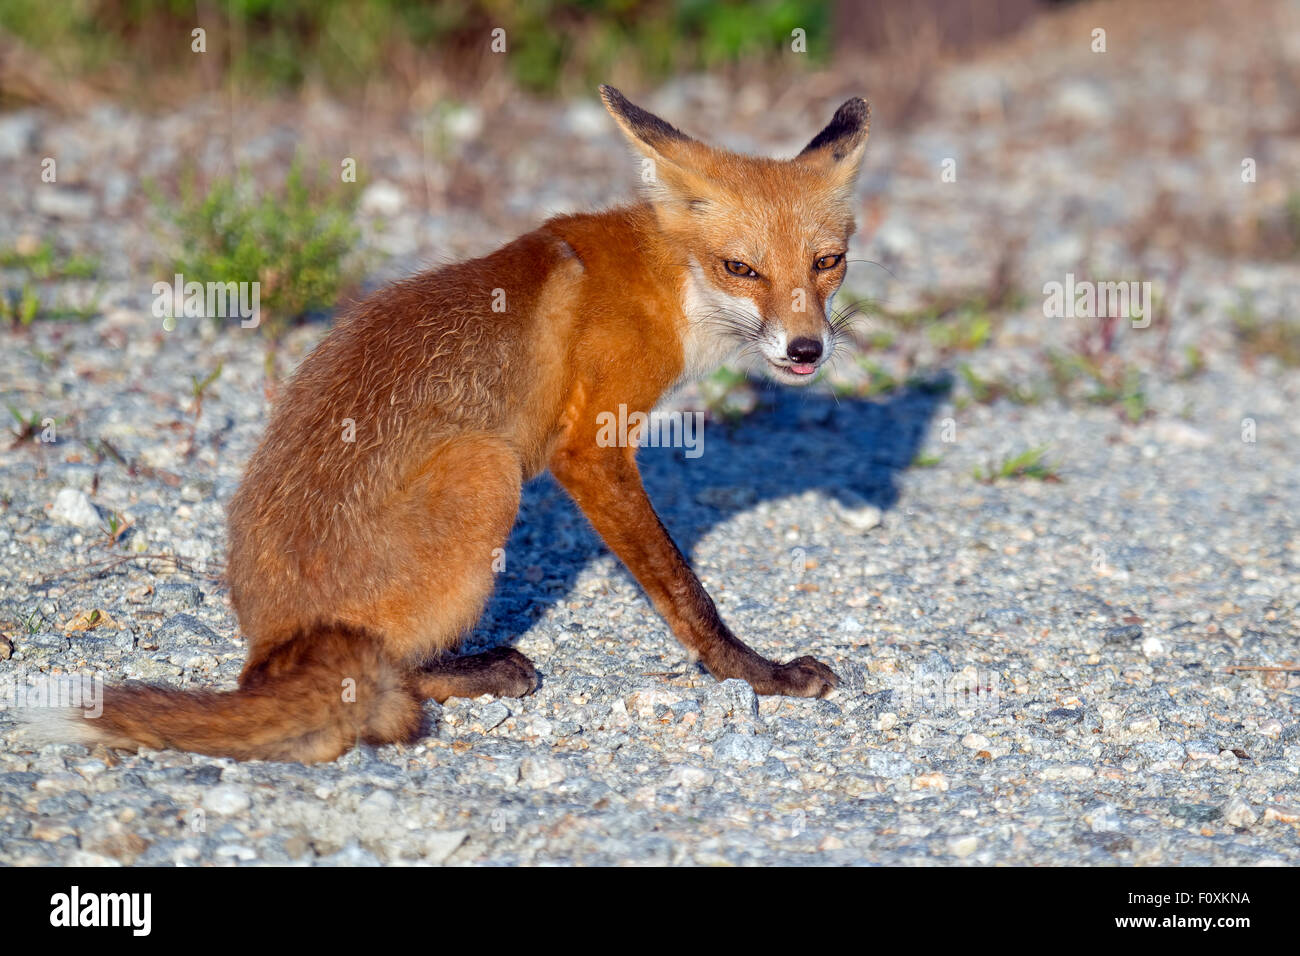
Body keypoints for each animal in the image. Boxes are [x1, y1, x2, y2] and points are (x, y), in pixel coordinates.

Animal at [24, 87, 871, 763]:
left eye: (828, 262)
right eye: (742, 268)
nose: (807, 347)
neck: (669, 282)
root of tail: (276, 641)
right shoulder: (590, 451)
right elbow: (686, 593)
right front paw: (755, 674)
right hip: (485, 469)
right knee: (394, 677)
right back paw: (480, 672)